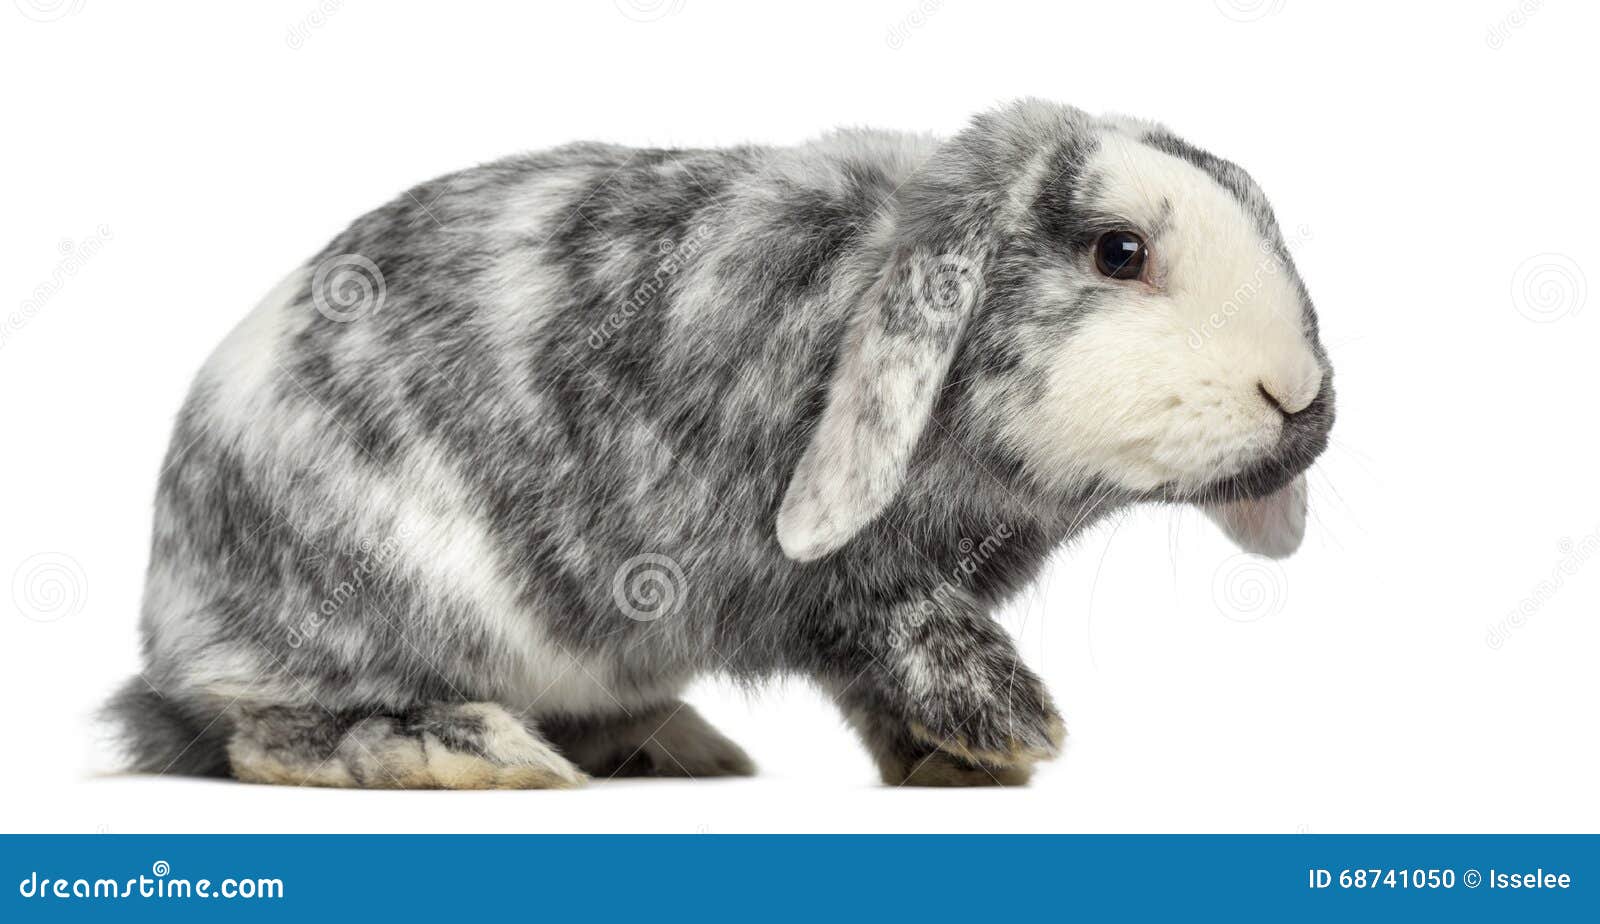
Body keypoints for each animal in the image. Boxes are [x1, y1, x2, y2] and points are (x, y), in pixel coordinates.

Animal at [104, 98, 1334, 788]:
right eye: (1118, 252)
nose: (1300, 397)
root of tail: (170, 625)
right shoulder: (831, 577)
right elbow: (900, 625)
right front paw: (1015, 730)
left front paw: (954, 764)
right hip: (352, 614)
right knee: (266, 736)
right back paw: (469, 753)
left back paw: (668, 747)